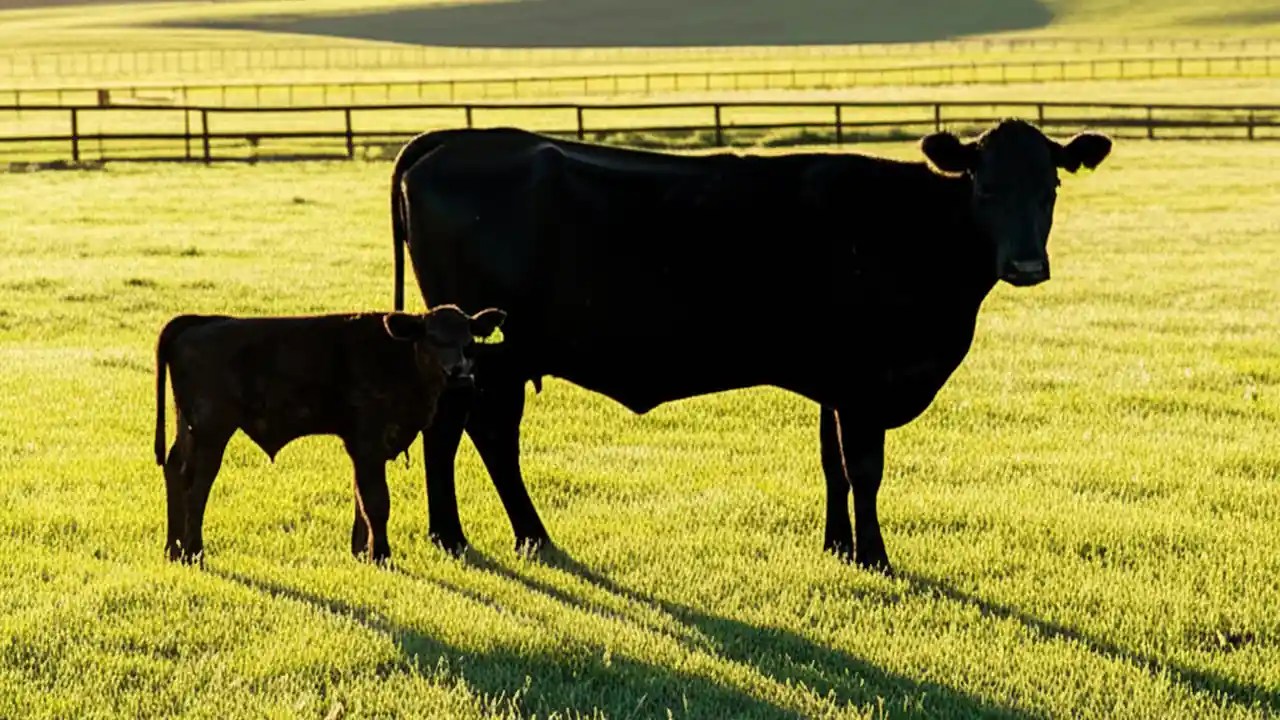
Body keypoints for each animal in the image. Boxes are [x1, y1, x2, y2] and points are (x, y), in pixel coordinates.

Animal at [153, 304, 507, 567]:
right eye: (432, 338)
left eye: (469, 341)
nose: (459, 372)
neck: (398, 356)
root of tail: (201, 322)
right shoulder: (367, 443)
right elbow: (376, 500)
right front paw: (381, 555)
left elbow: (361, 498)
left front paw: (362, 552)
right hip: (212, 431)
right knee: (196, 486)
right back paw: (193, 552)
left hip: (189, 427)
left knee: (174, 469)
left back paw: (174, 548)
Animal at [387, 119, 1112, 575]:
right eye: (986, 186)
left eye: (1051, 186)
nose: (1027, 264)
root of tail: (456, 139)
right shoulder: (865, 380)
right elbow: (864, 468)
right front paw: (875, 557)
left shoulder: (834, 380)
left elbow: (831, 463)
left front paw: (838, 547)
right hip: (488, 354)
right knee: (478, 435)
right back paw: (508, 536)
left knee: (458, 434)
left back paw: (466, 536)